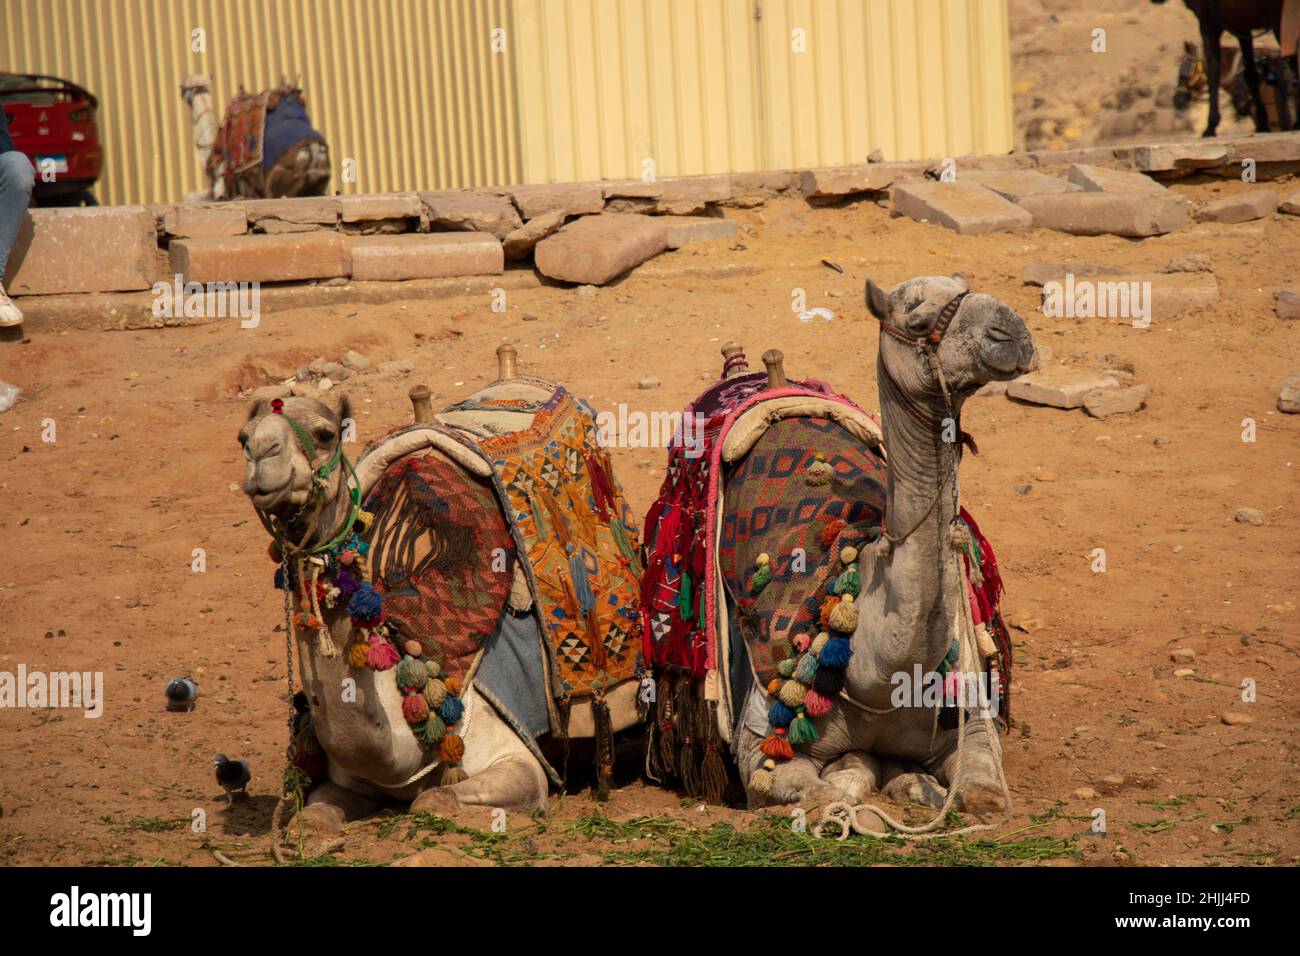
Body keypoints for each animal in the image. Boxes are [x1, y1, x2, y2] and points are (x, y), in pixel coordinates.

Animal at [239, 392, 548, 832]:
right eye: (243, 437)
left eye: (325, 433)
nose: (264, 453)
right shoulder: (346, 782)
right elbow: (311, 818)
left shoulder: (520, 763)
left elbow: (431, 800)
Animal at [730, 275, 1037, 824]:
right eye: (917, 319)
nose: (1012, 333)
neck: (873, 668)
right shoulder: (760, 743)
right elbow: (821, 795)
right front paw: (859, 781)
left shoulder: (970, 722)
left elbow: (985, 796)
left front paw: (918, 784)